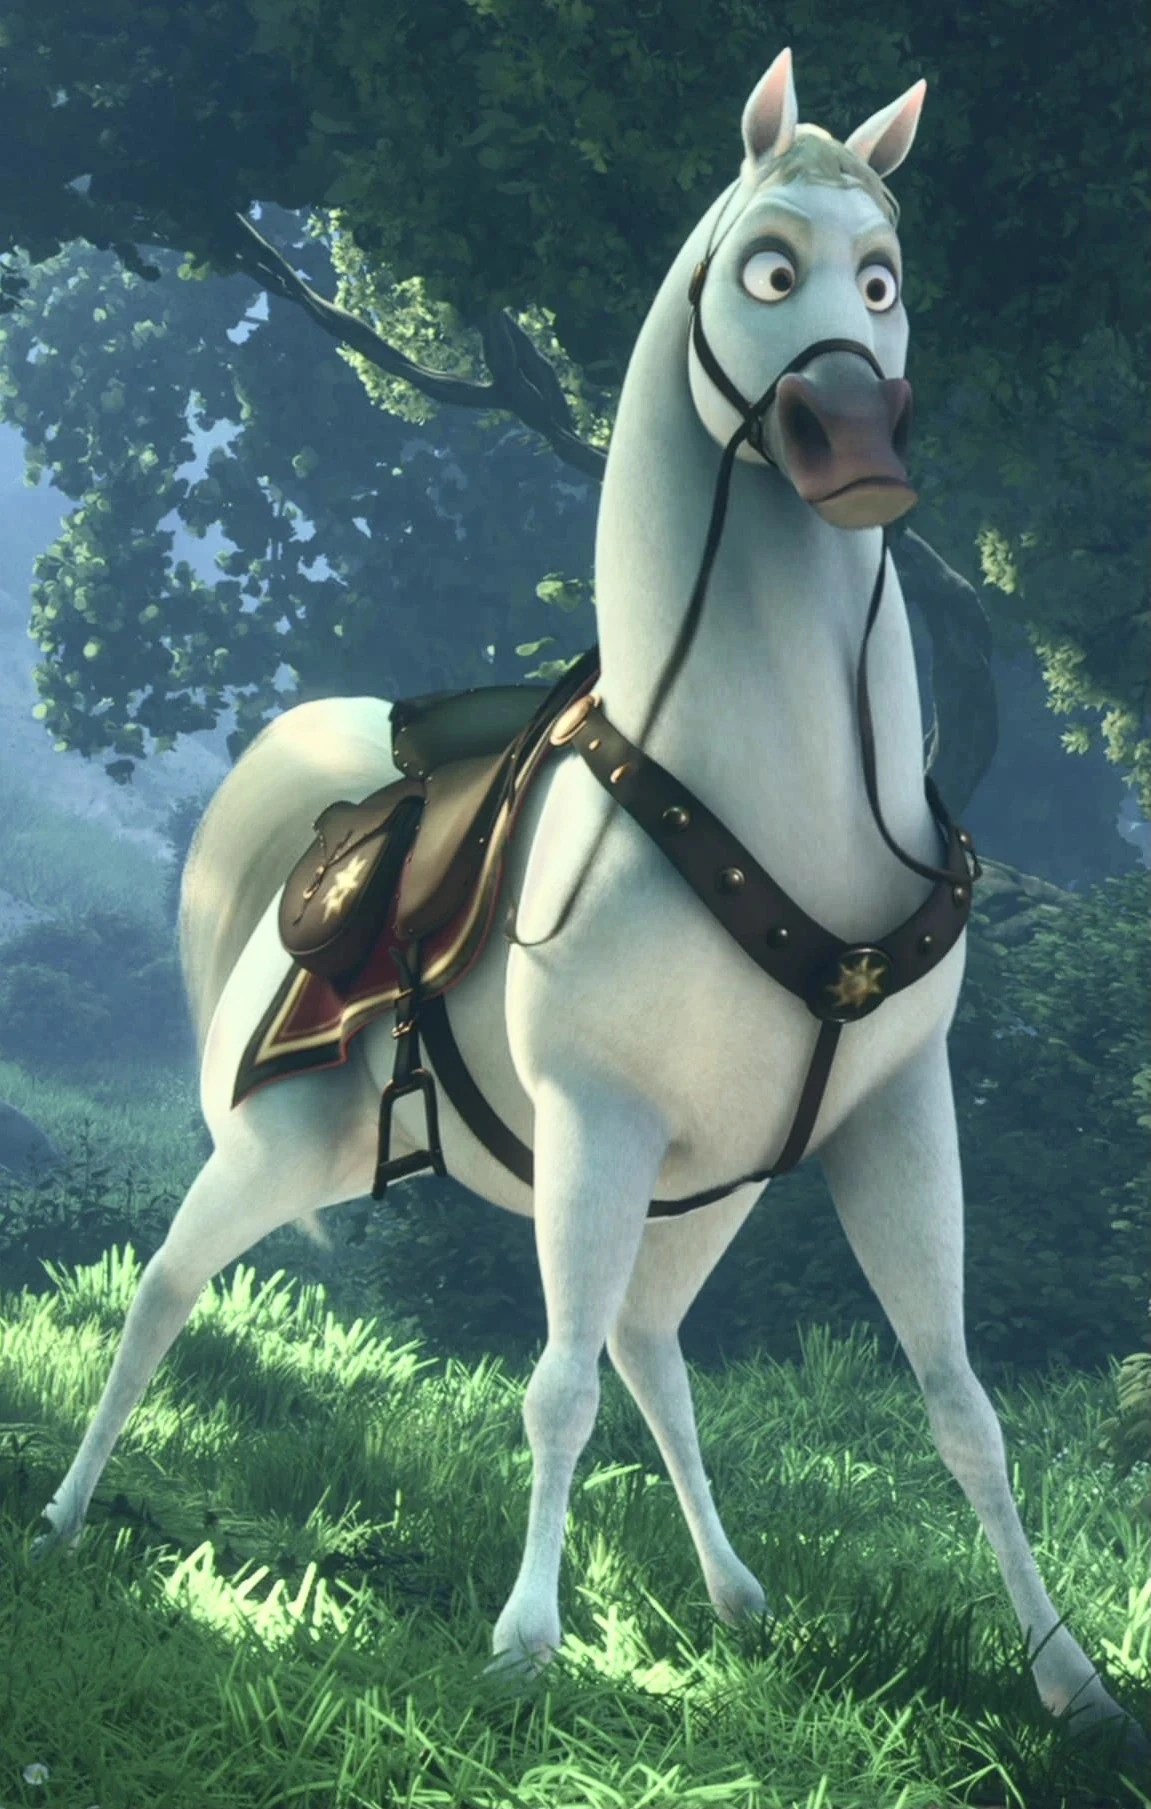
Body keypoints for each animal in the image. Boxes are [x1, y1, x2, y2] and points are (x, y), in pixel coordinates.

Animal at [34, 47, 1145, 1757]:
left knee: (649, 1345)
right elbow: (546, 1384)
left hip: (703, 1198)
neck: (772, 806)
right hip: (293, 1149)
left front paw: (1065, 1674)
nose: (860, 454)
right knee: (166, 1289)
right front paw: (522, 1649)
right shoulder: (594, 1122)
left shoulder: (896, 1120)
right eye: (768, 270)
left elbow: (958, 1399)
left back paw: (738, 1597)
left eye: (882, 284)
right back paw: (69, 1517)